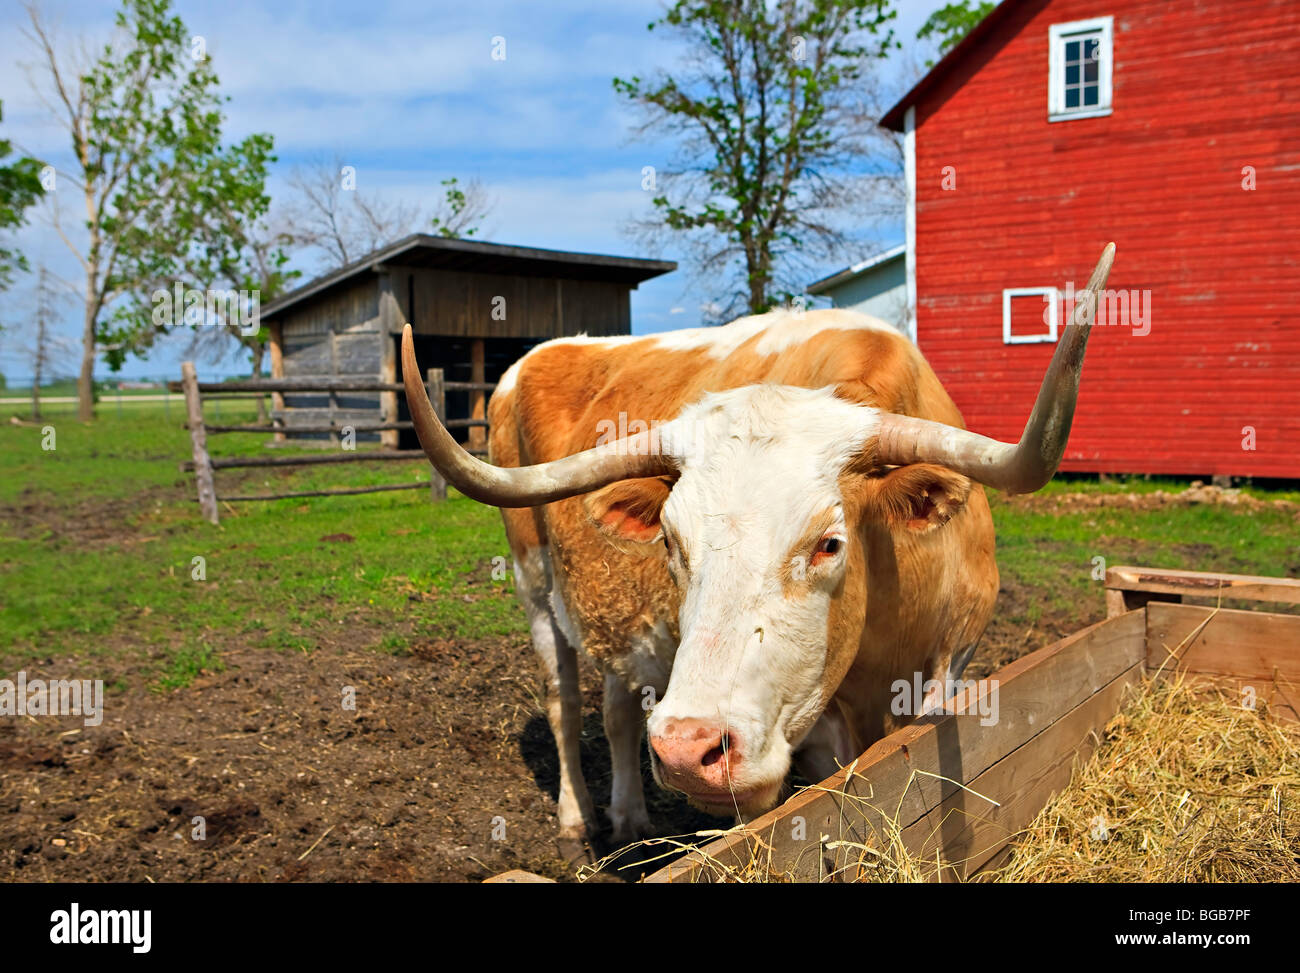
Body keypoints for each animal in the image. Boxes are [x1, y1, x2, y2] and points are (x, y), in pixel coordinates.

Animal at [401, 245, 1115, 857]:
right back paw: (577, 824)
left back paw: (629, 820)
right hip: (534, 587)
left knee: (619, 709)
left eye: (829, 544)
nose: (686, 749)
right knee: (563, 701)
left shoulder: (953, 660)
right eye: (671, 540)